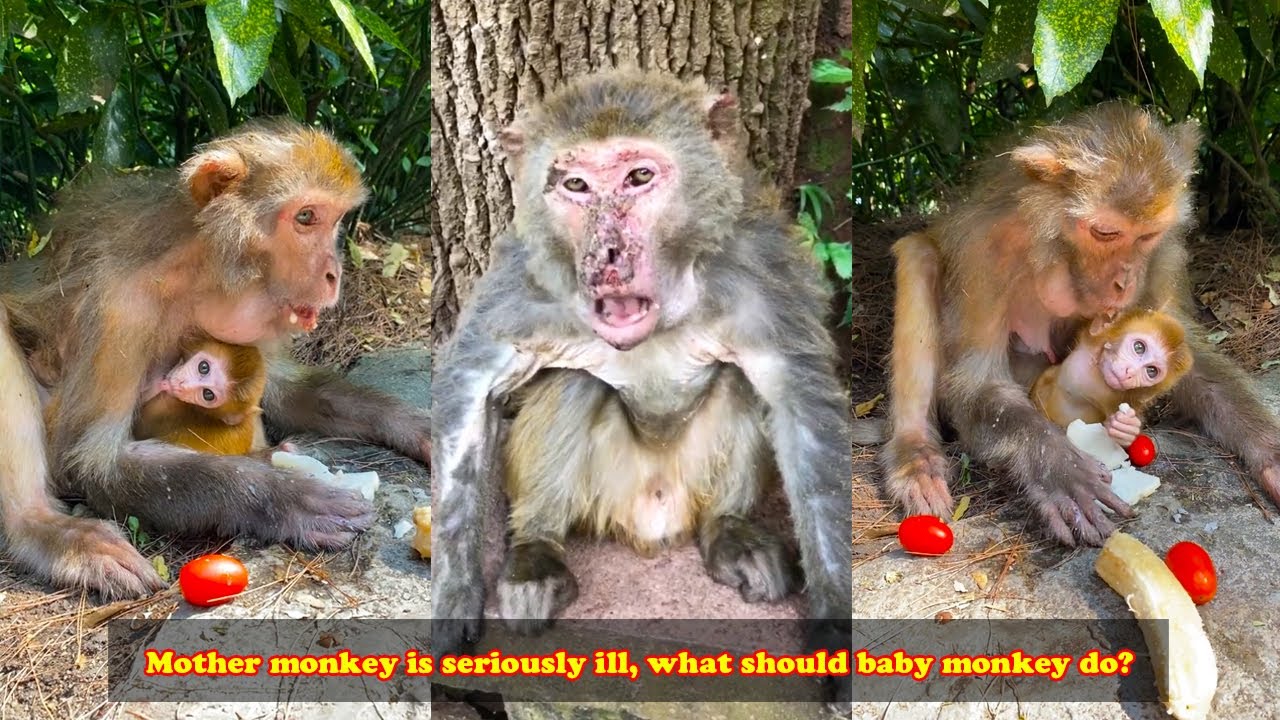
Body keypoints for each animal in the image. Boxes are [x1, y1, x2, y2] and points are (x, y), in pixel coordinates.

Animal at [429, 69, 852, 699]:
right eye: (576, 185)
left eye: (639, 177)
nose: (606, 255)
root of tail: (651, 528)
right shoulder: (526, 278)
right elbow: (470, 386)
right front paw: (453, 596)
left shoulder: (761, 265)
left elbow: (801, 407)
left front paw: (836, 631)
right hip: (602, 494)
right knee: (575, 382)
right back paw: (535, 553)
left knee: (737, 380)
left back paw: (730, 531)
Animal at [1030, 307, 1193, 447]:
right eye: (1139, 347)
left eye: (1151, 371)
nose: (1130, 372)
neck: (1097, 376)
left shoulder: (1120, 401)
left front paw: (1126, 429)